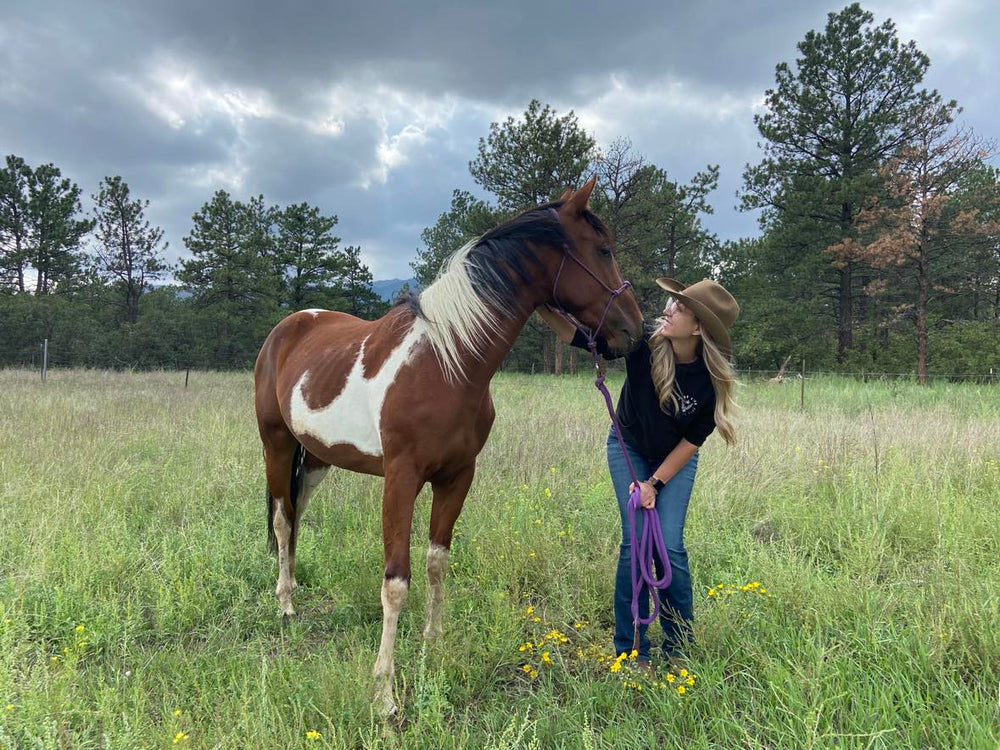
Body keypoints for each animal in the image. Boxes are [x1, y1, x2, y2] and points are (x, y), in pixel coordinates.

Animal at [253, 178, 643, 715]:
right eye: (603, 250)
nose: (635, 330)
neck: (447, 363)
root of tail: (285, 328)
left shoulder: (457, 477)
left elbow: (437, 562)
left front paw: (433, 647)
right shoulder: (401, 480)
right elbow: (397, 582)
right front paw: (385, 693)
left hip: (315, 458)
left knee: (295, 515)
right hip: (276, 445)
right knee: (282, 518)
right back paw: (287, 605)